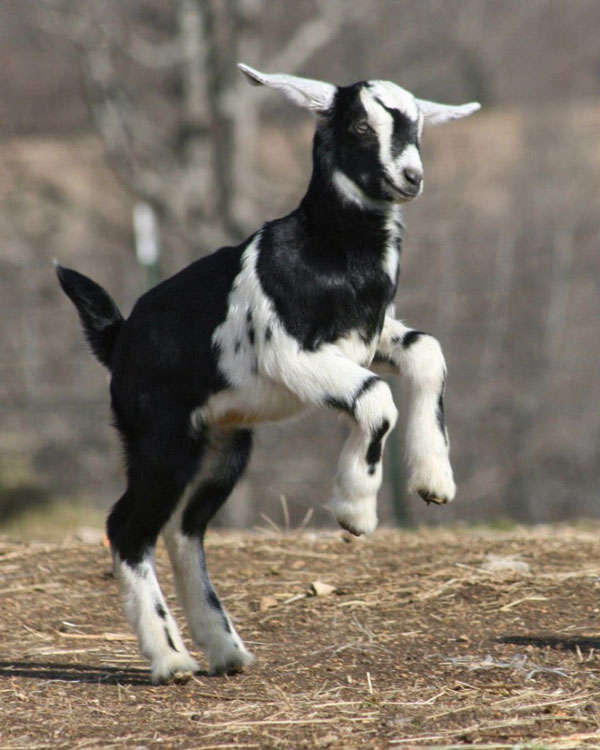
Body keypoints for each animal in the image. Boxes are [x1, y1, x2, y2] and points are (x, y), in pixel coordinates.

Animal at [56, 64, 480, 684]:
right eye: (358, 125)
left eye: (419, 125)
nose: (411, 177)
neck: (329, 251)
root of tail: (118, 338)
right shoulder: (292, 354)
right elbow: (376, 399)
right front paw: (355, 510)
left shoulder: (367, 340)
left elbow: (427, 352)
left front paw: (433, 481)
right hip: (161, 440)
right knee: (128, 526)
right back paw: (170, 657)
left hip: (224, 444)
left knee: (185, 528)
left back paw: (225, 648)